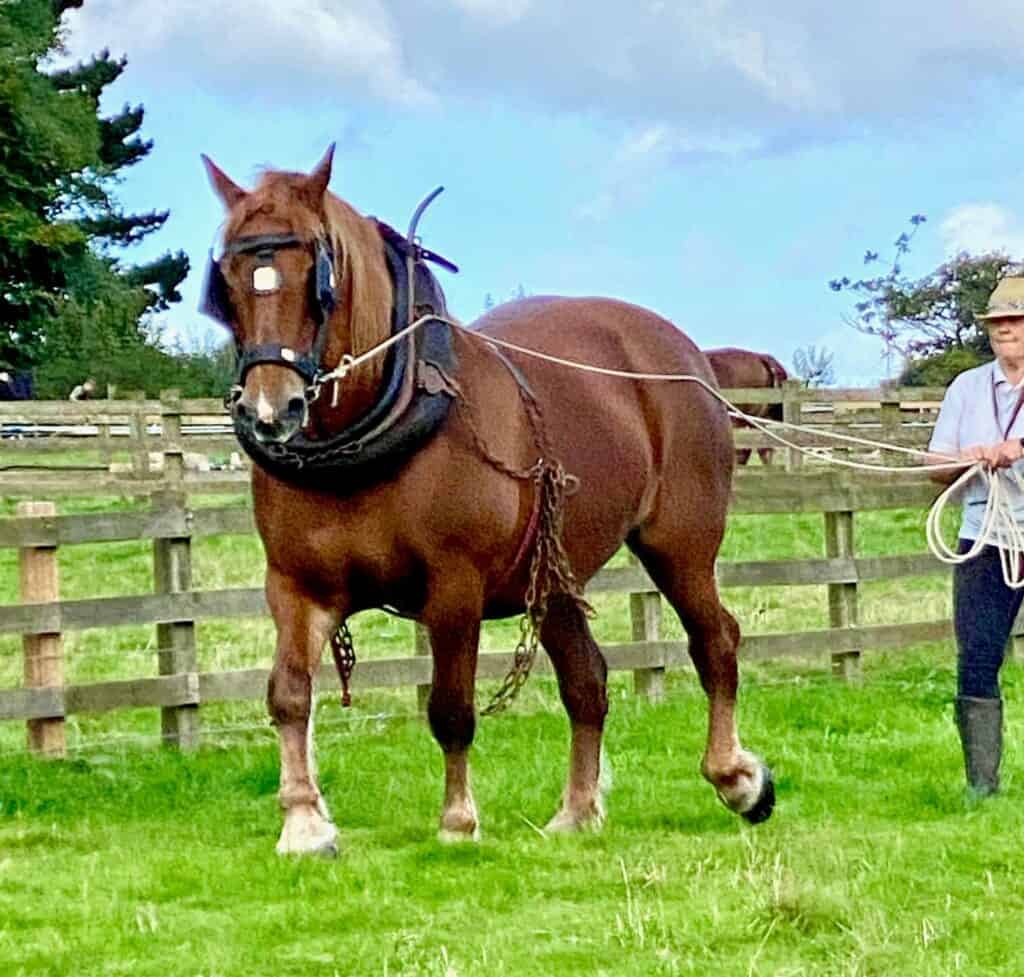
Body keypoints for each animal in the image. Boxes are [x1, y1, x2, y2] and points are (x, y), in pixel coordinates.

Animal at [200, 146, 775, 855]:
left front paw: (457, 820)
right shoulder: (296, 586)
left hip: (681, 544)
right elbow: (288, 695)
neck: (376, 426)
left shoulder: (455, 587)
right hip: (551, 575)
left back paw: (736, 778)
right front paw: (304, 823)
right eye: (228, 277)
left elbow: (450, 707)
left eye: (318, 271)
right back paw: (577, 808)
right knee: (587, 680)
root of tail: (683, 354)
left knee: (715, 642)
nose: (270, 410)